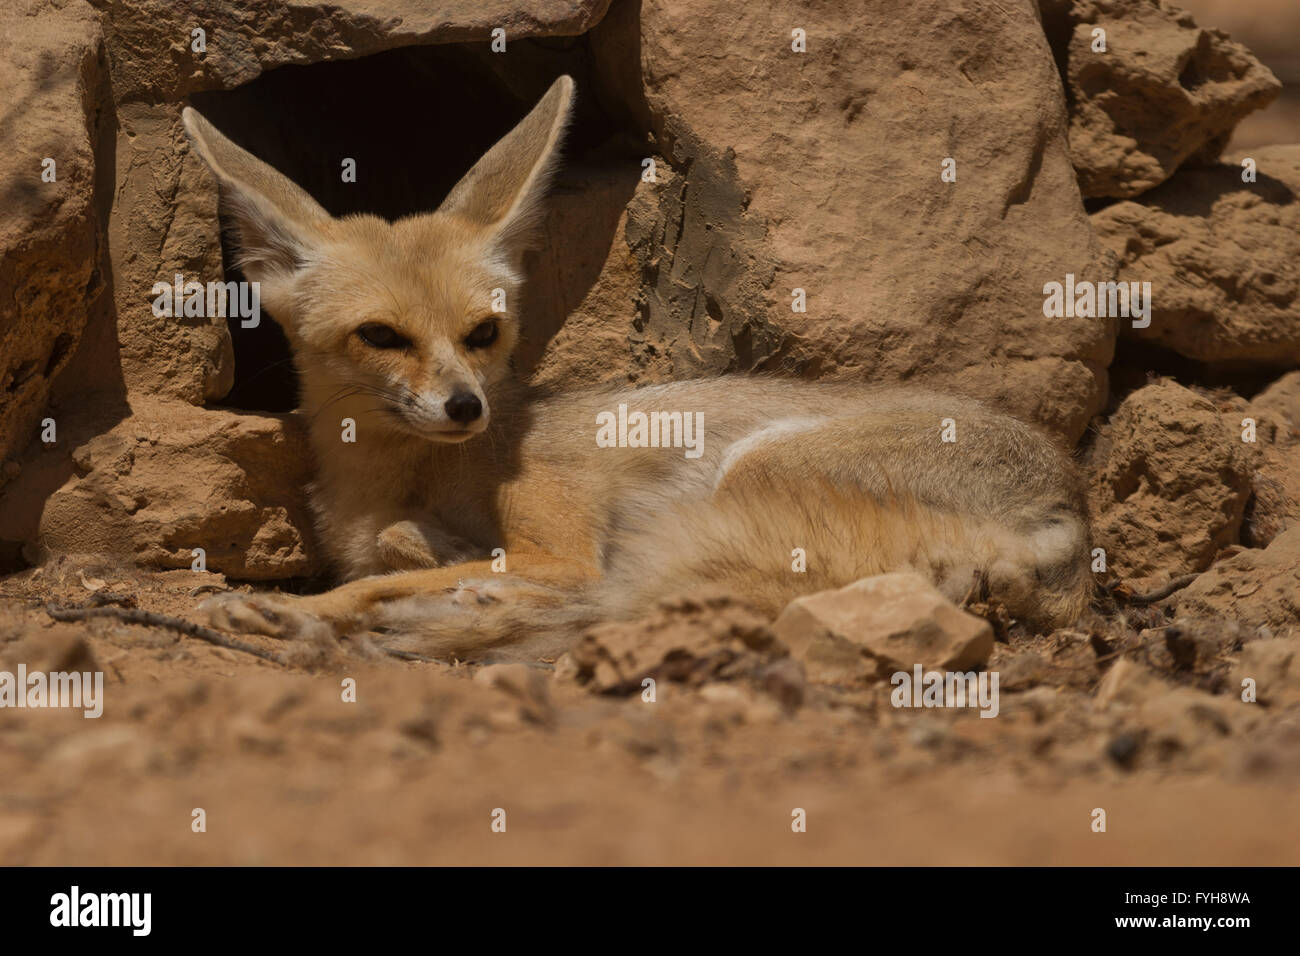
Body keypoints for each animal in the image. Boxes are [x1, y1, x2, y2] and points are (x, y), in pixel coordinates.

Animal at [181, 75, 1092, 661]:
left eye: (482, 332)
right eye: (381, 335)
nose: (467, 408)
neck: (390, 477)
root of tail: (1075, 508)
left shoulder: (560, 541)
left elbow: (386, 579)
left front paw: (290, 608)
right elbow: (400, 549)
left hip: (746, 471)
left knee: (616, 596)